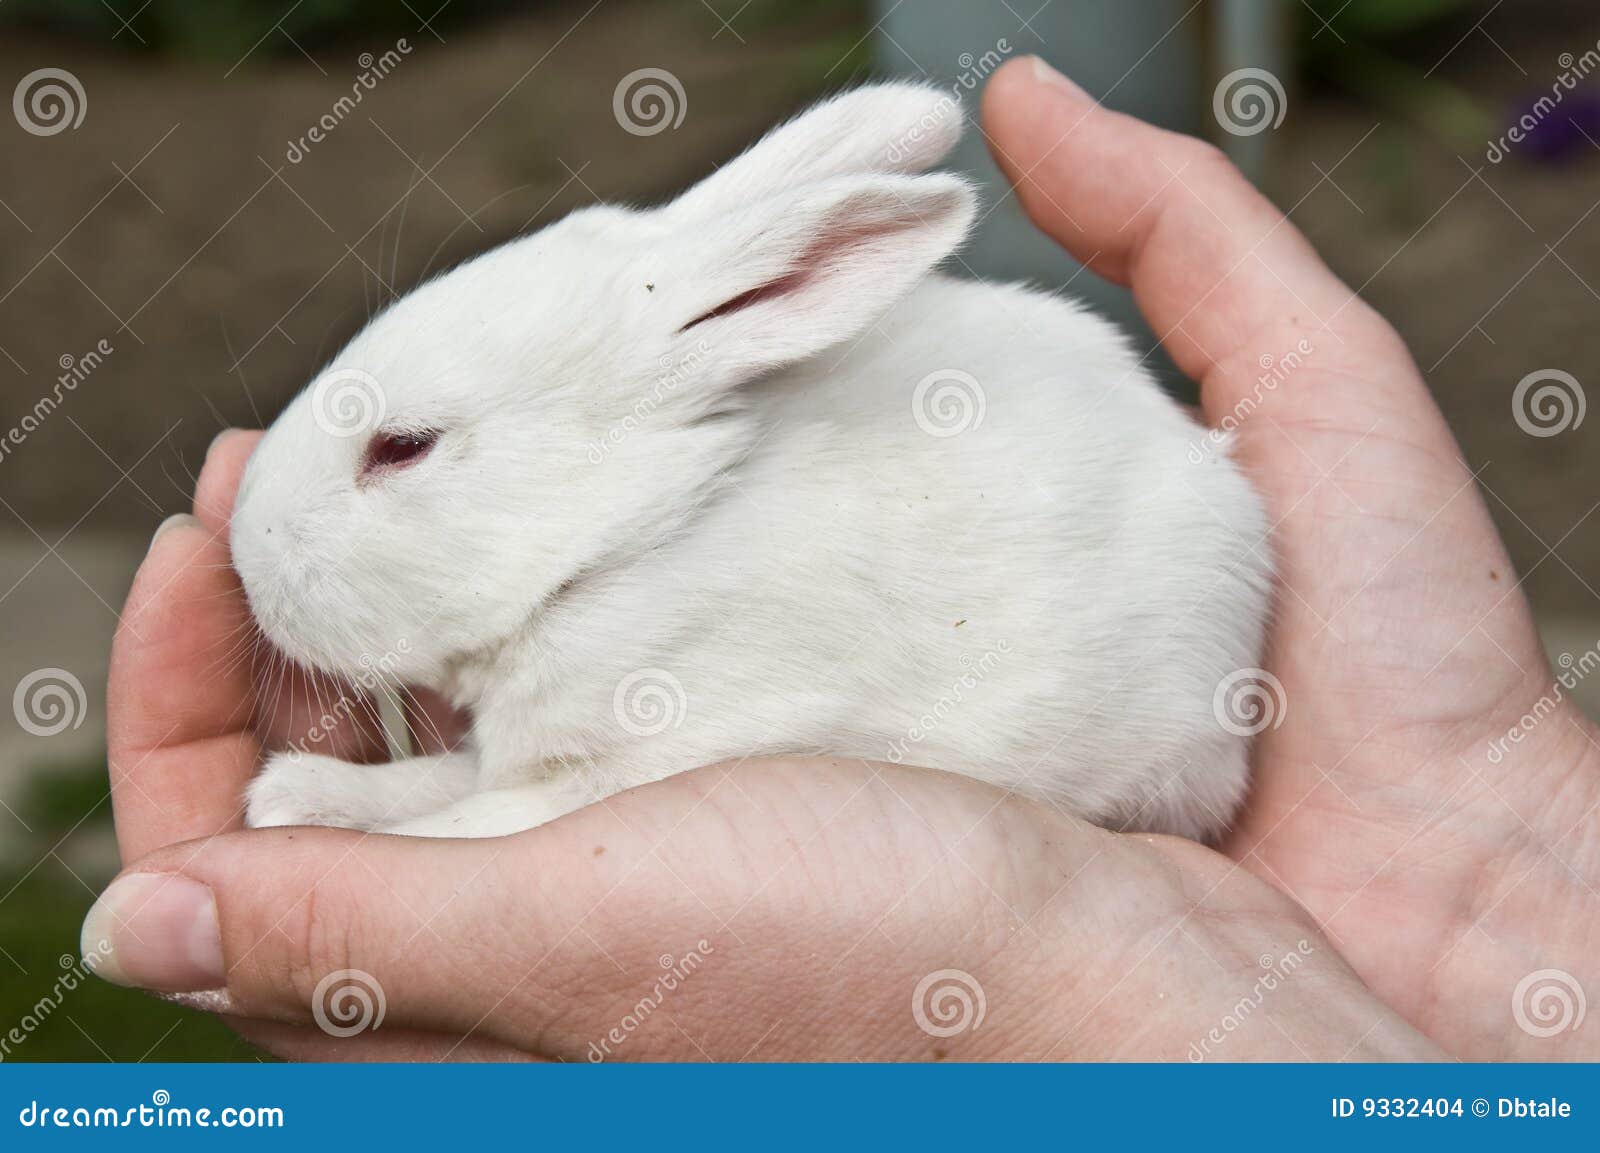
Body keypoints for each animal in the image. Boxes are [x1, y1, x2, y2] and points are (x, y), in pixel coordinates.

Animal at [231, 82, 1273, 843]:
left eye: (403, 447)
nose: (245, 554)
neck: (630, 536)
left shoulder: (646, 752)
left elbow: (472, 816)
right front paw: (299, 795)